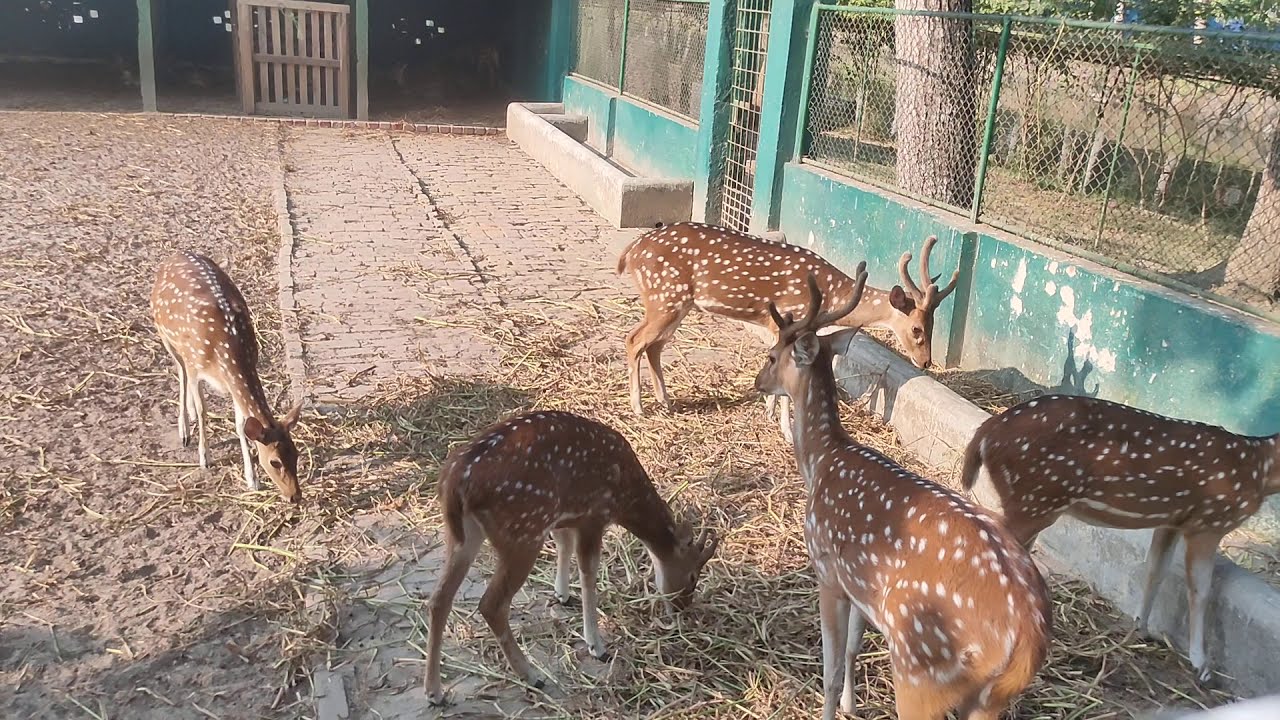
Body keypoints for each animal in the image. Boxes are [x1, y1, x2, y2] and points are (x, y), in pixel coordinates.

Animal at [150, 252, 303, 504]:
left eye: (296, 454)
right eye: (275, 462)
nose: (295, 496)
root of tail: (176, 255)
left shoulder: (234, 382)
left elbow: (241, 424)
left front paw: (252, 479)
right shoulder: (195, 366)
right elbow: (203, 409)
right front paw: (205, 458)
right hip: (166, 335)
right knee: (180, 371)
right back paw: (185, 431)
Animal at [425, 410, 719, 703]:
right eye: (692, 576)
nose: (682, 609)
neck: (624, 495)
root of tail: (454, 483)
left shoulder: (562, 516)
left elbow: (563, 545)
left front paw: (562, 594)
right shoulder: (595, 514)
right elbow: (588, 571)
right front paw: (596, 646)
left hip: (463, 535)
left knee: (439, 599)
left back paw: (434, 691)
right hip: (523, 532)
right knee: (491, 605)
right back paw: (532, 676)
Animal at [617, 222, 959, 440]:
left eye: (933, 325)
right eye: (916, 328)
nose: (925, 361)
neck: (831, 292)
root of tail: (630, 253)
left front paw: (769, 412)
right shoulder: (785, 319)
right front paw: (785, 428)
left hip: (676, 303)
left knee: (654, 346)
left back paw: (665, 401)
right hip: (665, 297)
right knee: (633, 339)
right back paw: (638, 408)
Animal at [755, 270, 1052, 720]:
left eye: (773, 356)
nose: (758, 381)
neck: (821, 461)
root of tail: (1025, 644)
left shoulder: (827, 568)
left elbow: (830, 668)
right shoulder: (861, 585)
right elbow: (855, 648)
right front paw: (852, 706)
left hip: (919, 667)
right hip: (987, 701)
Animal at [960, 394, 1280, 682]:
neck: (1261, 470)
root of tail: (985, 433)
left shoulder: (1171, 522)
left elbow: (1155, 570)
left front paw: (1142, 628)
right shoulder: (1209, 522)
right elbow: (1200, 590)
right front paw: (1201, 665)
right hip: (1035, 499)